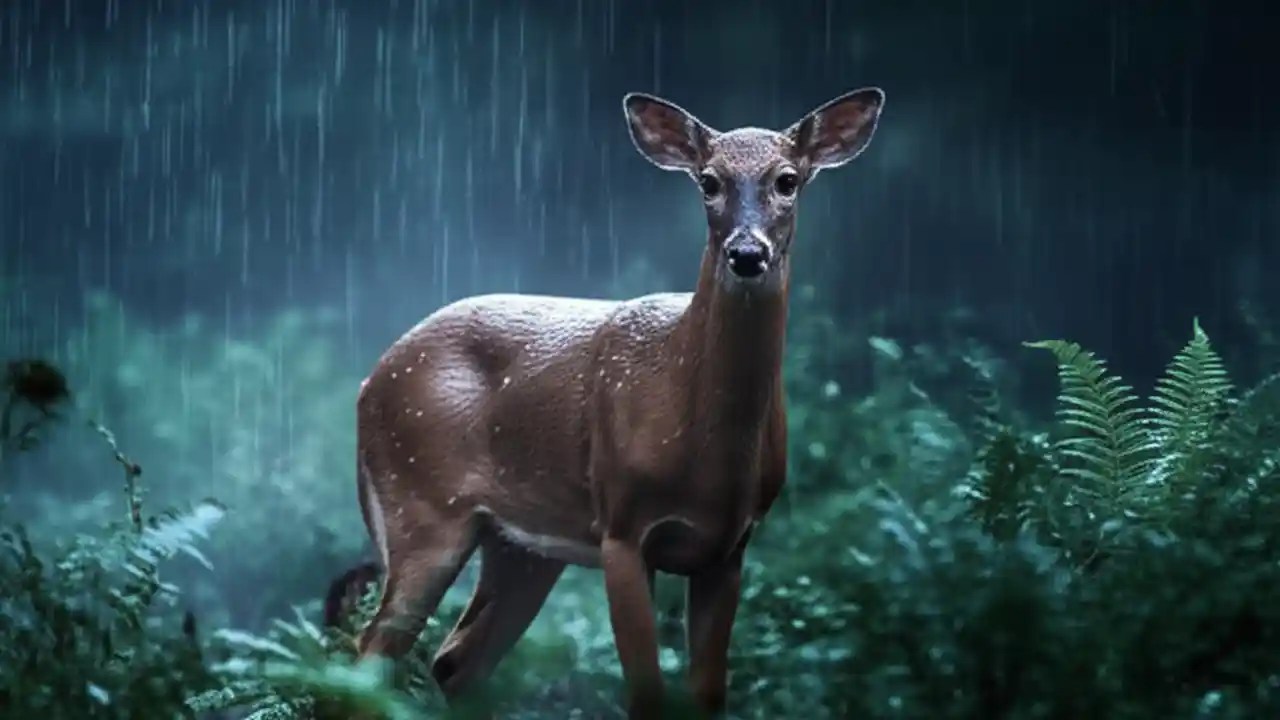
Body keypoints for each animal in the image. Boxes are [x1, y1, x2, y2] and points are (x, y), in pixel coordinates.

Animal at [352, 86, 885, 718]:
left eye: (788, 180)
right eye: (708, 181)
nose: (747, 253)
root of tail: (368, 384)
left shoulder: (730, 546)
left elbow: (708, 693)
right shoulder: (622, 524)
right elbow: (646, 692)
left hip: (524, 545)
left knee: (454, 661)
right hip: (420, 504)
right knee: (366, 659)